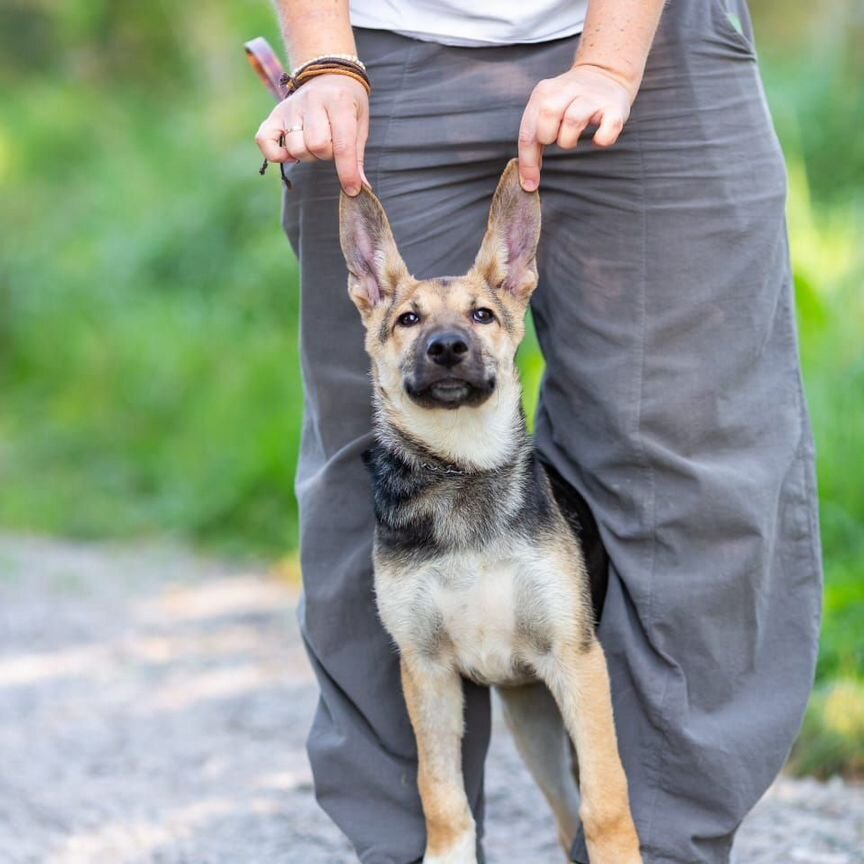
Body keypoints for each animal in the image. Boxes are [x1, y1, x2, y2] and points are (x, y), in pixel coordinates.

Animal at [338, 162, 640, 864]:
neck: (461, 471)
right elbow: (441, 794)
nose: (448, 347)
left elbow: (607, 798)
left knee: (576, 811)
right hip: (529, 720)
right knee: (561, 817)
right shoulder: (425, 671)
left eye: (482, 315)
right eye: (408, 320)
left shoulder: (577, 660)